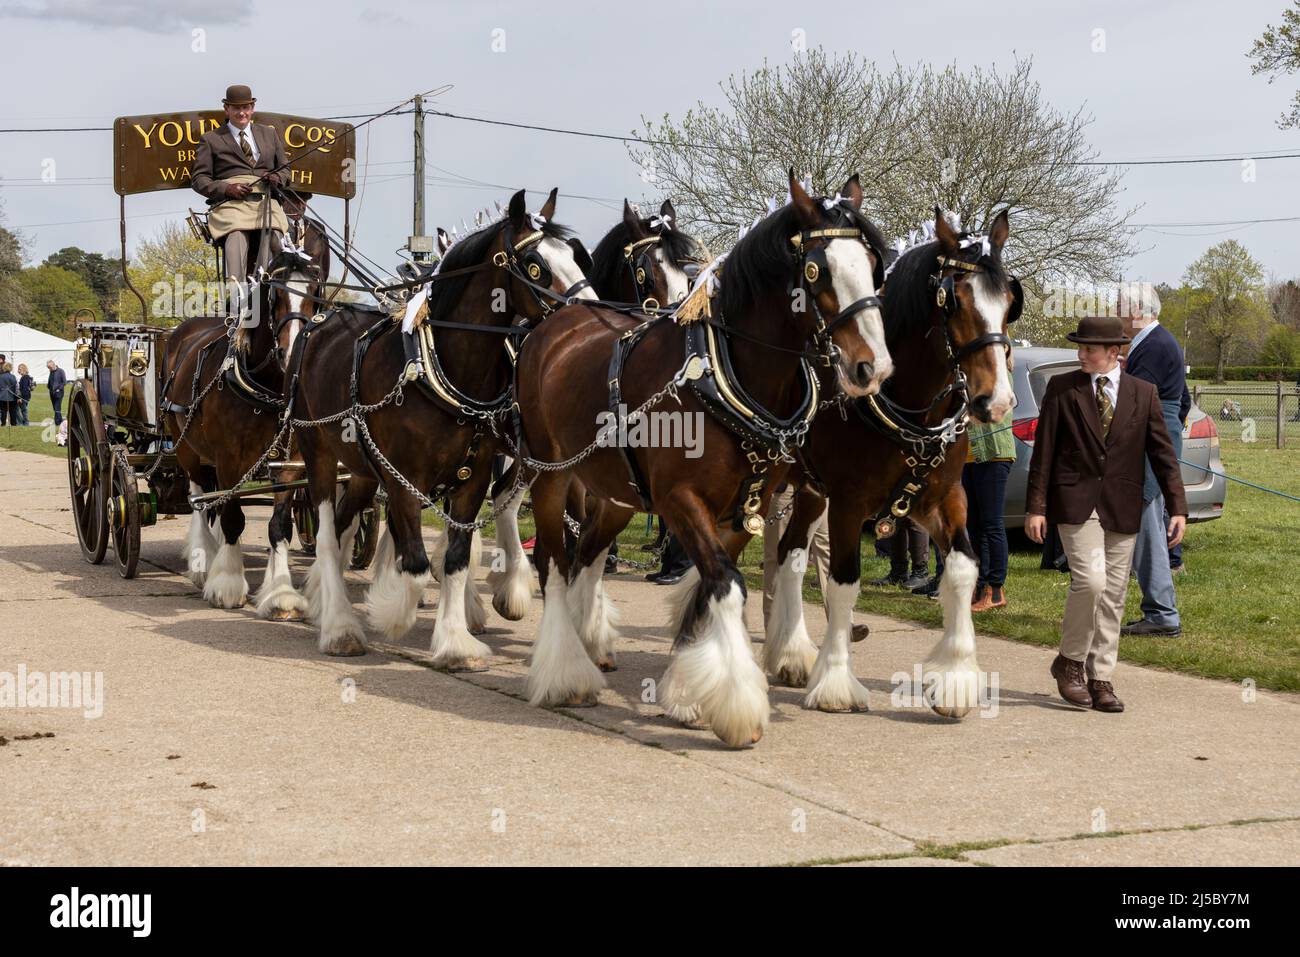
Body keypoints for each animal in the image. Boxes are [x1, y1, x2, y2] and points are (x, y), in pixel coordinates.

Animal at [161, 217, 330, 617]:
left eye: (315, 291)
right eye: (273, 293)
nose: (292, 351)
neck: (267, 386)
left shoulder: (290, 462)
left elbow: (279, 525)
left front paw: (280, 593)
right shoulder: (228, 458)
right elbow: (234, 517)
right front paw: (226, 584)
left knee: (213, 503)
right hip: (187, 448)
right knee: (199, 498)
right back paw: (202, 561)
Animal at [289, 188, 596, 660]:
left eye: (577, 256)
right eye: (535, 266)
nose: (591, 318)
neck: (443, 368)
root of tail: (322, 322)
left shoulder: (474, 476)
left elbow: (456, 559)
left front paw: (455, 641)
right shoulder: (403, 479)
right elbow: (414, 561)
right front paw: (391, 611)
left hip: (360, 470)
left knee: (343, 528)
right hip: (317, 454)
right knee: (324, 534)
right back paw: (339, 626)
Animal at [515, 171, 893, 747]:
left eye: (873, 265)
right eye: (817, 269)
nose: (872, 366)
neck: (724, 373)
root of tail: (556, 323)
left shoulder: (744, 509)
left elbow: (712, 587)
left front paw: (687, 692)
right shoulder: (679, 500)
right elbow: (727, 587)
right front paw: (737, 706)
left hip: (616, 494)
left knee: (589, 558)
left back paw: (588, 643)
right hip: (548, 476)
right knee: (555, 562)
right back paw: (563, 670)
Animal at [765, 208, 1021, 717]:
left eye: (1008, 301)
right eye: (954, 301)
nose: (996, 401)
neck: (909, 405)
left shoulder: (944, 498)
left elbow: (963, 568)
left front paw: (955, 676)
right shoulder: (848, 504)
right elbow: (844, 583)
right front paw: (835, 682)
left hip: (810, 490)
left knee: (791, 555)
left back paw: (792, 653)